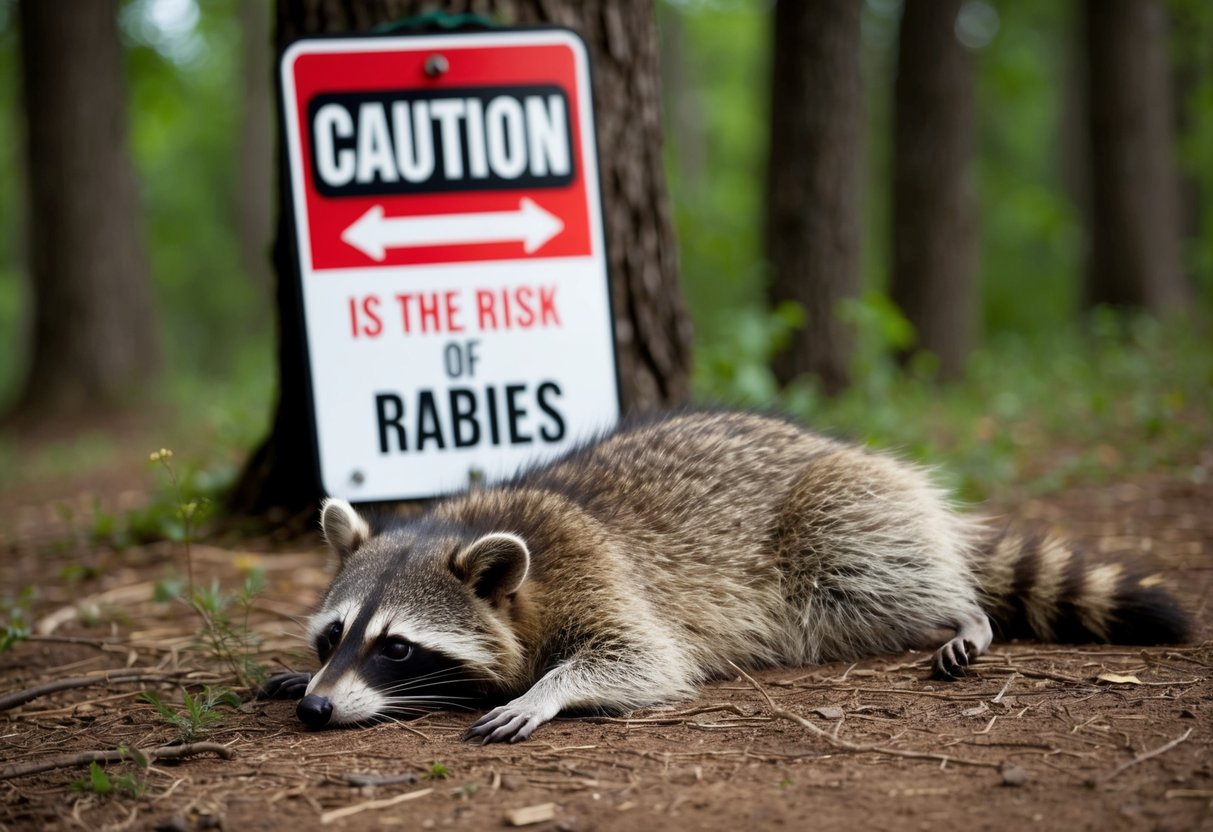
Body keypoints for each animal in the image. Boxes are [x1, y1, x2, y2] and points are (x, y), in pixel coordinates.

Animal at [259, 411, 1191, 743]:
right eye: (336, 635)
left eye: (397, 649)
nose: (317, 708)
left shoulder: (595, 570)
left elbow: (641, 658)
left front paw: (548, 688)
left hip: (839, 515)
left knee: (878, 568)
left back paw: (959, 608)